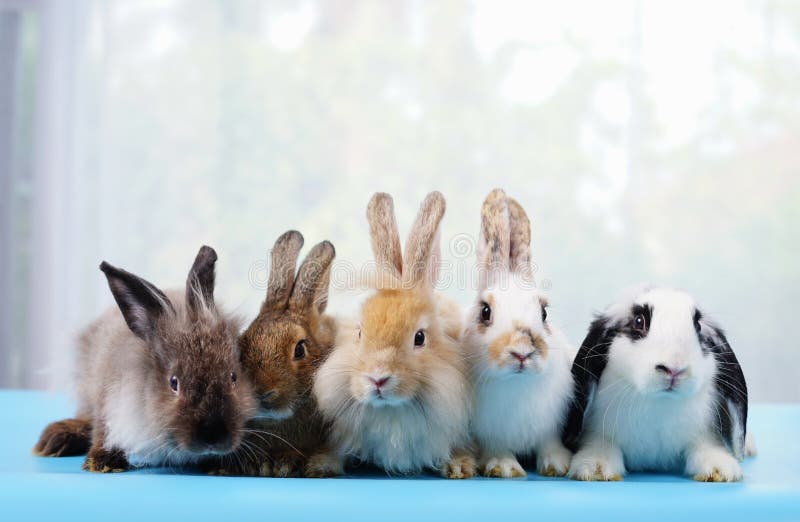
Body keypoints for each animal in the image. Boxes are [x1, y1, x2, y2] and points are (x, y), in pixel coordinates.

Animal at [33, 246, 255, 472]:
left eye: (233, 377)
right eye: (174, 383)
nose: (212, 438)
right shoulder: (108, 398)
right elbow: (102, 431)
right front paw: (101, 462)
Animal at [311, 191, 476, 479]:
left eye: (419, 338)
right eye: (360, 332)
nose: (377, 378)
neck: (393, 411)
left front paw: (460, 466)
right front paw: (320, 465)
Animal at [465, 189, 576, 478]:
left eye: (544, 312)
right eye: (485, 311)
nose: (522, 352)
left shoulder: (550, 427)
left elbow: (549, 444)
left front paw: (557, 465)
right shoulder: (489, 434)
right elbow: (497, 447)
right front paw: (504, 468)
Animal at [562, 285, 749, 482]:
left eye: (697, 326)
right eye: (638, 321)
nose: (674, 369)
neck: (660, 403)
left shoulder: (703, 433)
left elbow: (704, 447)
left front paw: (720, 470)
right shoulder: (599, 431)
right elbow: (602, 445)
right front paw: (594, 469)